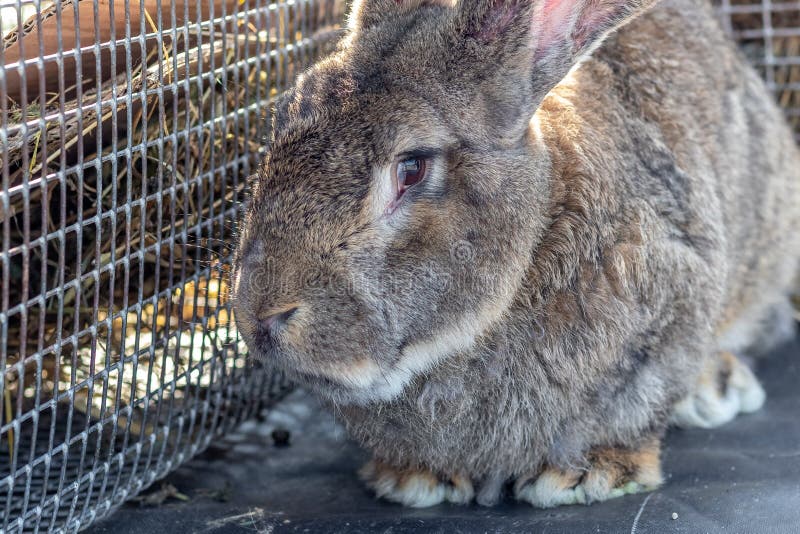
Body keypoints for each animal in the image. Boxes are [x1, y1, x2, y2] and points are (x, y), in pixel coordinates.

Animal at [232, 0, 800, 508]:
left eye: (411, 168)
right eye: (280, 123)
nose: (258, 316)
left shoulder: (670, 320)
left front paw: (586, 476)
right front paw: (412, 480)